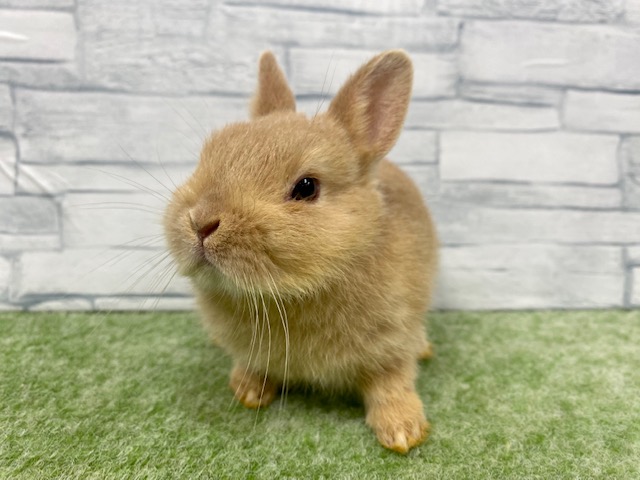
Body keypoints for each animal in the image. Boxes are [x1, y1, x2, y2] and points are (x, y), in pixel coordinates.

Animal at [164, 50, 438, 454]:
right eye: (206, 159)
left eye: (306, 187)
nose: (201, 222)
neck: (288, 296)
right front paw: (247, 391)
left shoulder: (391, 343)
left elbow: (391, 383)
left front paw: (403, 432)